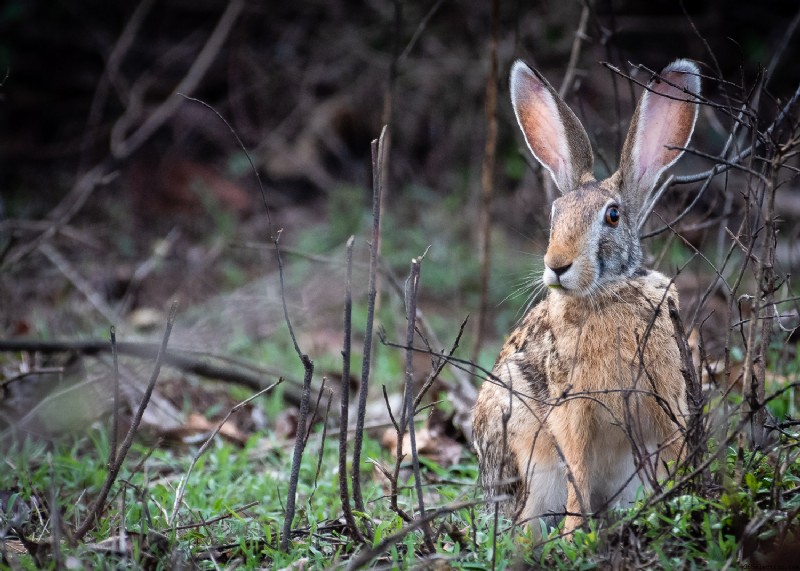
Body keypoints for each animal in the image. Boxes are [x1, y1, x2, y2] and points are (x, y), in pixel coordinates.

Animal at [472, 60, 704, 540]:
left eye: (612, 216)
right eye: (555, 215)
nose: (557, 265)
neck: (606, 293)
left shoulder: (668, 399)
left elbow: (674, 450)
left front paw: (682, 499)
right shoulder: (572, 409)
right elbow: (577, 467)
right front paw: (575, 532)